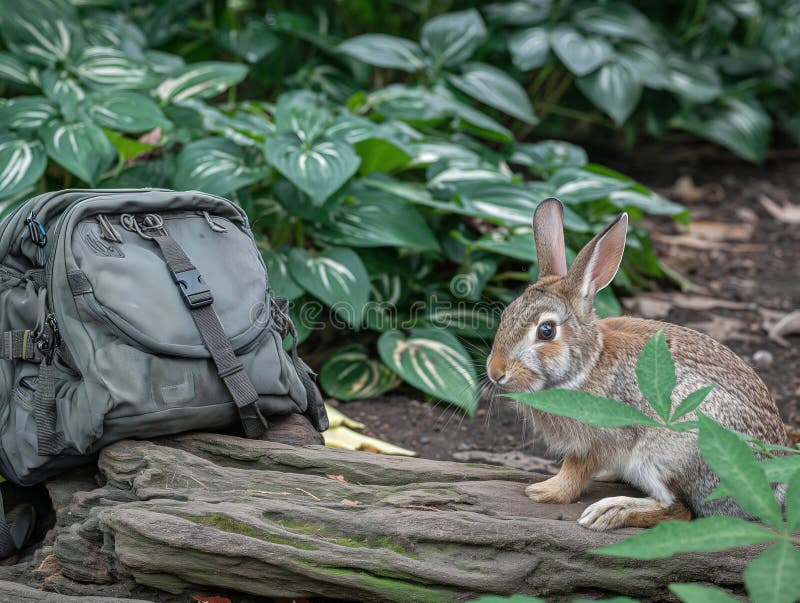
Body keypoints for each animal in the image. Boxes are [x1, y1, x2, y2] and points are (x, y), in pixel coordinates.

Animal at [486, 197, 789, 531]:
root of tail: (772, 489)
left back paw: (609, 512)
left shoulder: (597, 441)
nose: (495, 372)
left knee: (680, 510)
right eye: (505, 316)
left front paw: (544, 491)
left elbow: (575, 471)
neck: (587, 365)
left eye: (546, 331)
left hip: (672, 447)